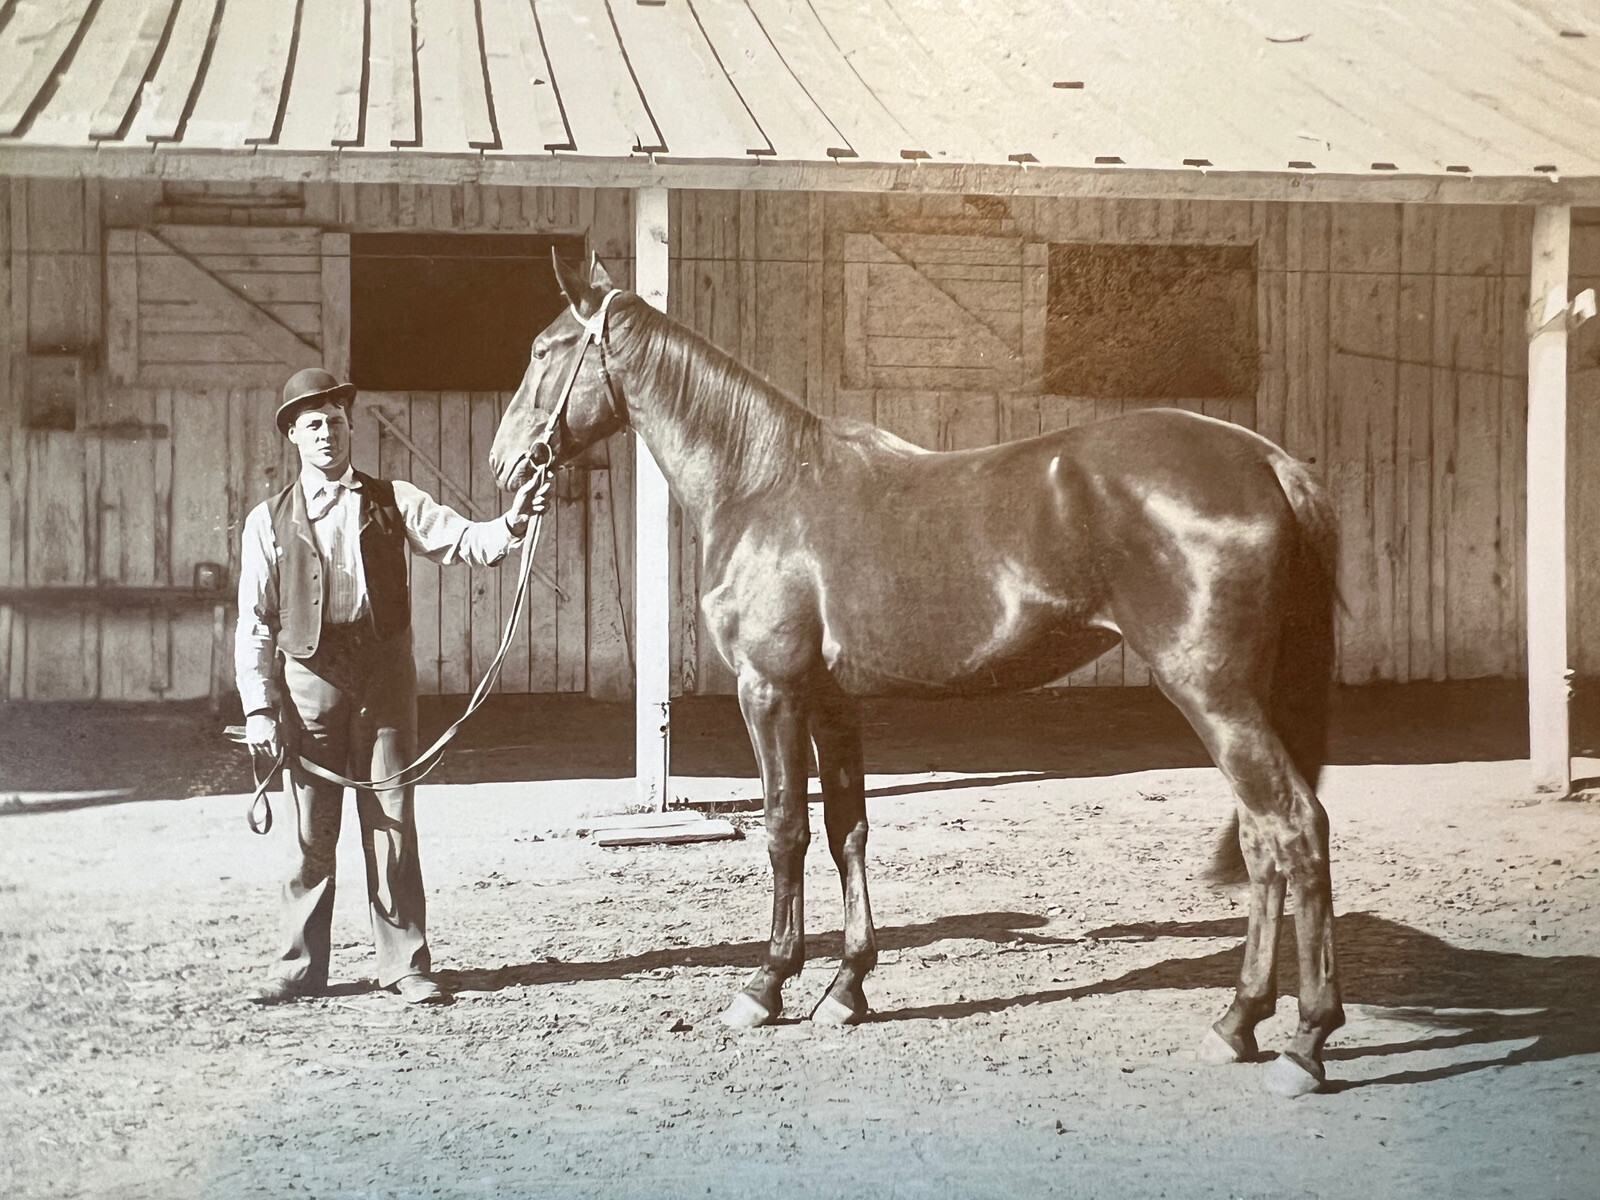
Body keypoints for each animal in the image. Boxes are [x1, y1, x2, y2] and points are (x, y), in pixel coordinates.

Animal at [490, 255, 1344, 1097]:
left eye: (543, 350)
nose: (505, 464)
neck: (763, 484)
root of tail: (1267, 462)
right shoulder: (833, 703)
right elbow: (847, 830)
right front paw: (847, 988)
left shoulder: (770, 692)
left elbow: (784, 830)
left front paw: (765, 987)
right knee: (1263, 843)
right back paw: (1240, 1021)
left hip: (1215, 698)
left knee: (1294, 830)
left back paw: (1305, 1041)